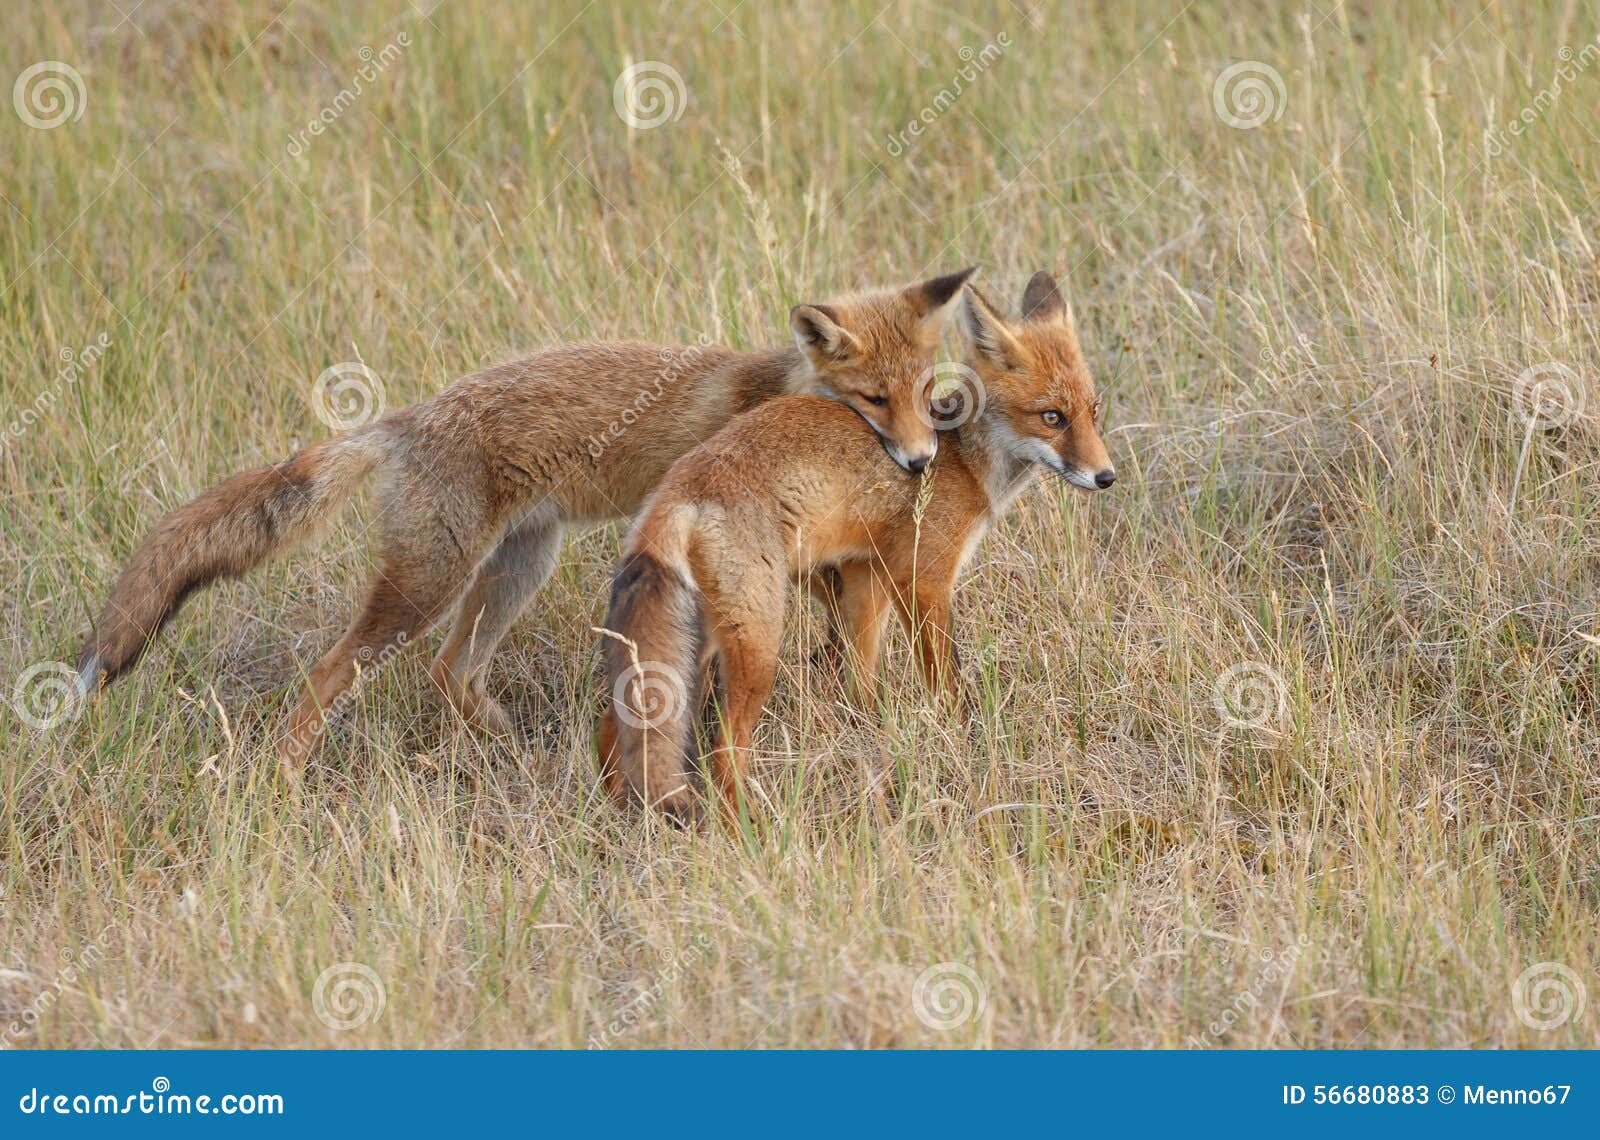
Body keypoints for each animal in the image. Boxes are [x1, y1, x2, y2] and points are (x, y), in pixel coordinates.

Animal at [72, 268, 975, 766]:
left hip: (516, 569)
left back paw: (509, 747)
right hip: (427, 585)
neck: (780, 391)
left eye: (924, 394)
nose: (921, 462)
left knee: (450, 671)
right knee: (330, 676)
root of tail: (403, 420)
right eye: (872, 400)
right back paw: (281, 780)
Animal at [596, 270, 1114, 822]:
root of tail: (679, 488)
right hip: (758, 646)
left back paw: (615, 809)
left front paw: (867, 732)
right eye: (1052, 417)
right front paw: (958, 739)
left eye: (1093, 410)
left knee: (619, 721)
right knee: (723, 750)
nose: (1107, 477)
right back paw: (743, 827)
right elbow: (945, 683)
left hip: (703, 640)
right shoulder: (922, 580)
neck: (964, 463)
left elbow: (861, 677)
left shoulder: (868, 578)